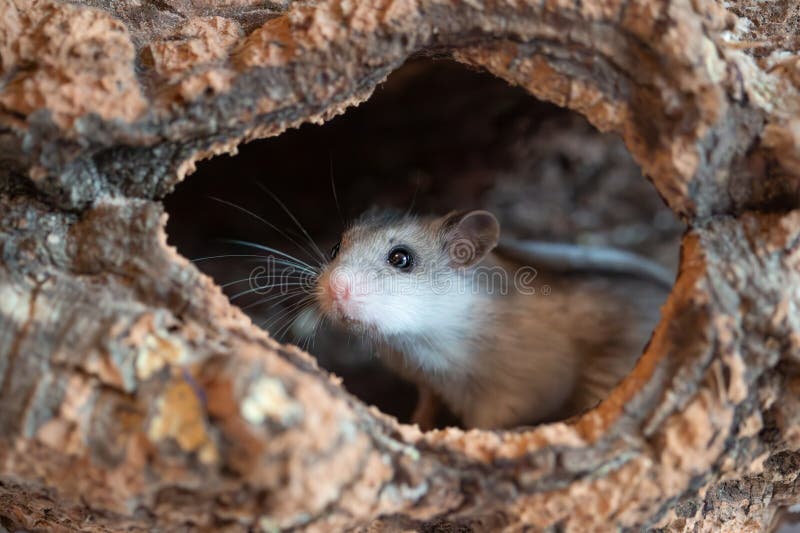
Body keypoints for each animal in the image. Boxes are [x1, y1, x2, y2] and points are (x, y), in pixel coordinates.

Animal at [314, 208, 669, 430]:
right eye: (335, 247)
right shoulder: (428, 383)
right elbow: (426, 404)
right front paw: (417, 424)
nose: (335, 288)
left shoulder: (514, 397)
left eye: (401, 258)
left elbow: (485, 427)